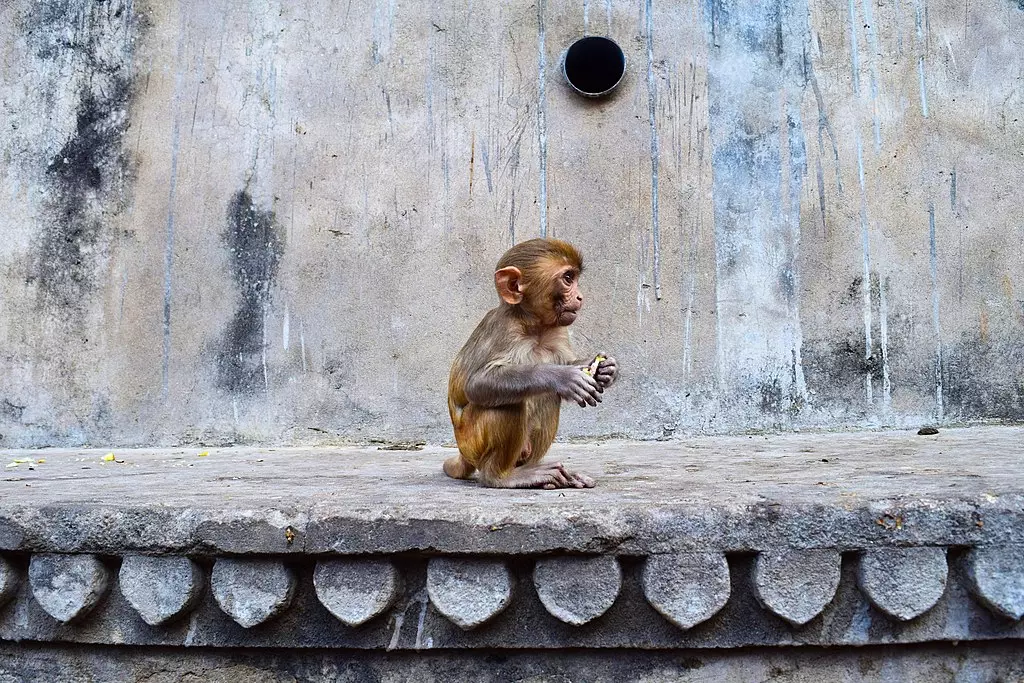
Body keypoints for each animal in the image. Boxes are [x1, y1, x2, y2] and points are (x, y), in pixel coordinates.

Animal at [442, 237, 614, 489]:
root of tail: (463, 453)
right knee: (508, 403)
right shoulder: (505, 330)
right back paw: (502, 477)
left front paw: (606, 369)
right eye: (568, 278)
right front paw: (562, 377)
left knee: (548, 397)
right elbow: (477, 384)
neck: (533, 327)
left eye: (574, 277)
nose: (580, 297)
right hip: (471, 442)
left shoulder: (558, 331)